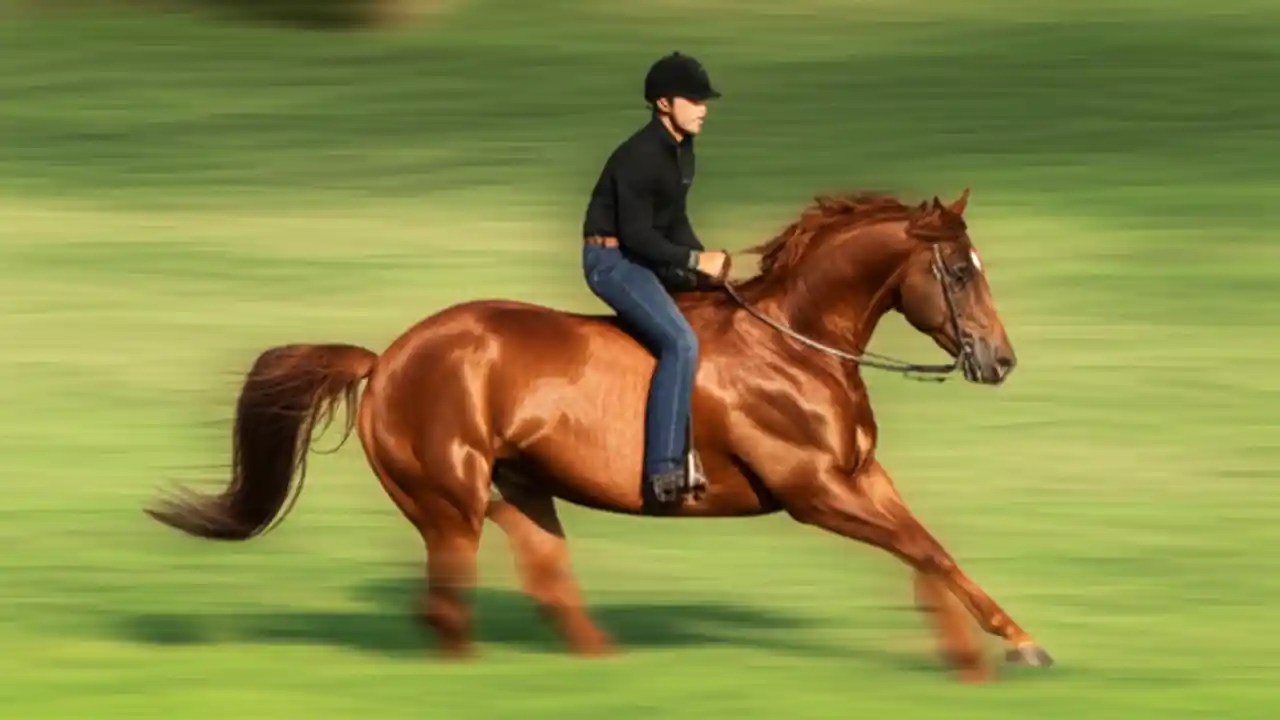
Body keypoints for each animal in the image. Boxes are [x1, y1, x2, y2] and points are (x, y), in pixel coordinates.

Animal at [146, 188, 1052, 682]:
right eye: (960, 270)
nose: (1002, 360)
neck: (797, 345)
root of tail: (388, 356)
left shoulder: (862, 476)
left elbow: (928, 552)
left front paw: (978, 651)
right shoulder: (816, 491)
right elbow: (924, 550)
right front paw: (1019, 648)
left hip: (517, 491)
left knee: (543, 583)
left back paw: (606, 669)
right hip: (448, 504)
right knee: (447, 607)